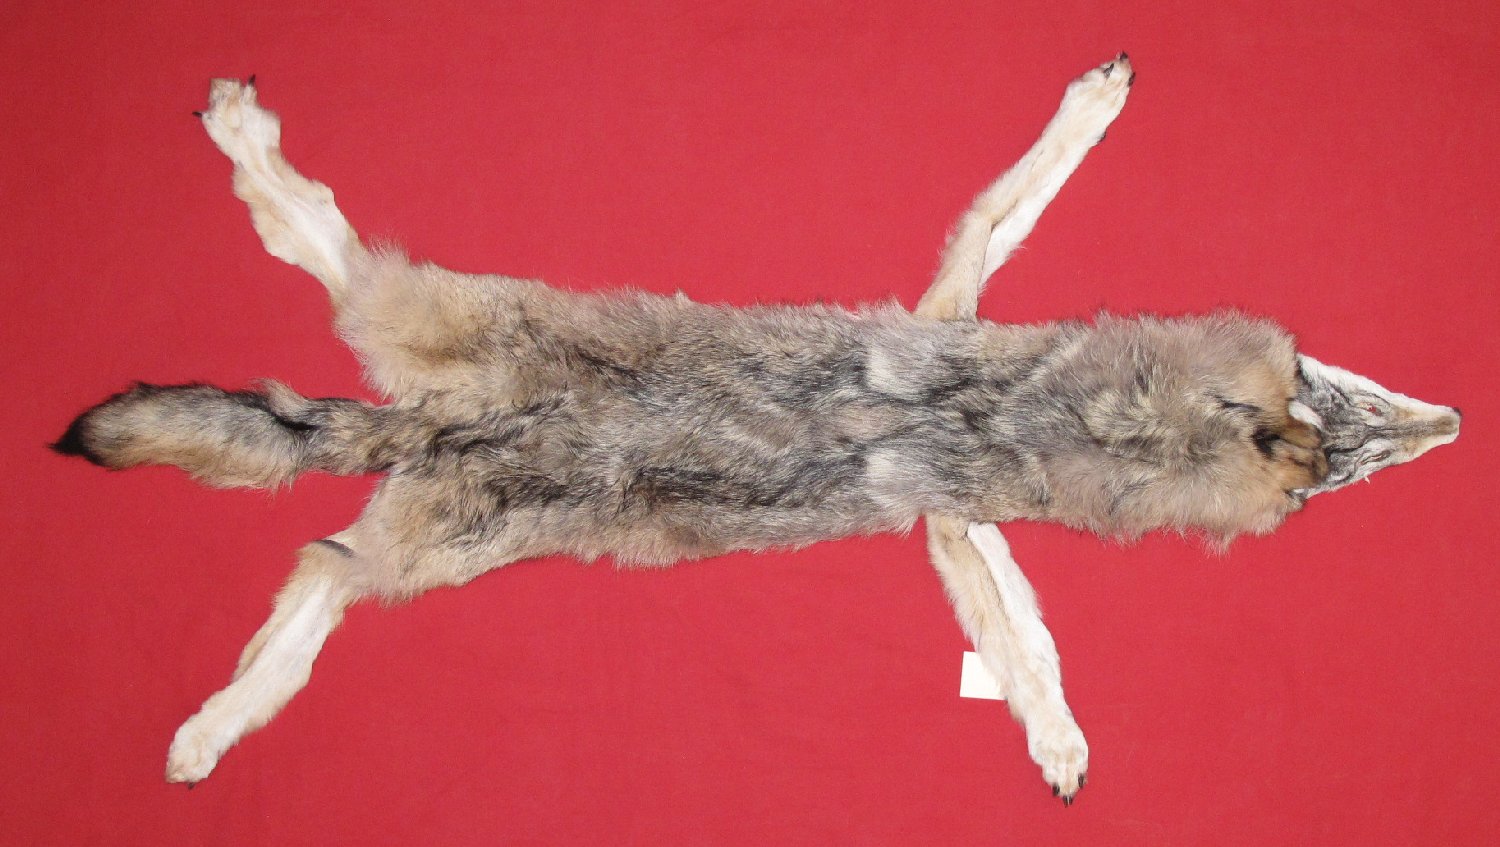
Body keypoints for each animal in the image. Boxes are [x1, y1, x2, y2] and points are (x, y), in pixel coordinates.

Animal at [54, 56, 1460, 802]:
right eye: (1339, 433)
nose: (1449, 419)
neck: (1049, 409)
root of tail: (405, 430)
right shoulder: (957, 362)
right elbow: (1026, 188)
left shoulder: (954, 514)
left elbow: (1019, 634)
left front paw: (1055, 736)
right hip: (426, 354)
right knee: (325, 253)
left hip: (423, 529)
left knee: (316, 569)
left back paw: (204, 727)